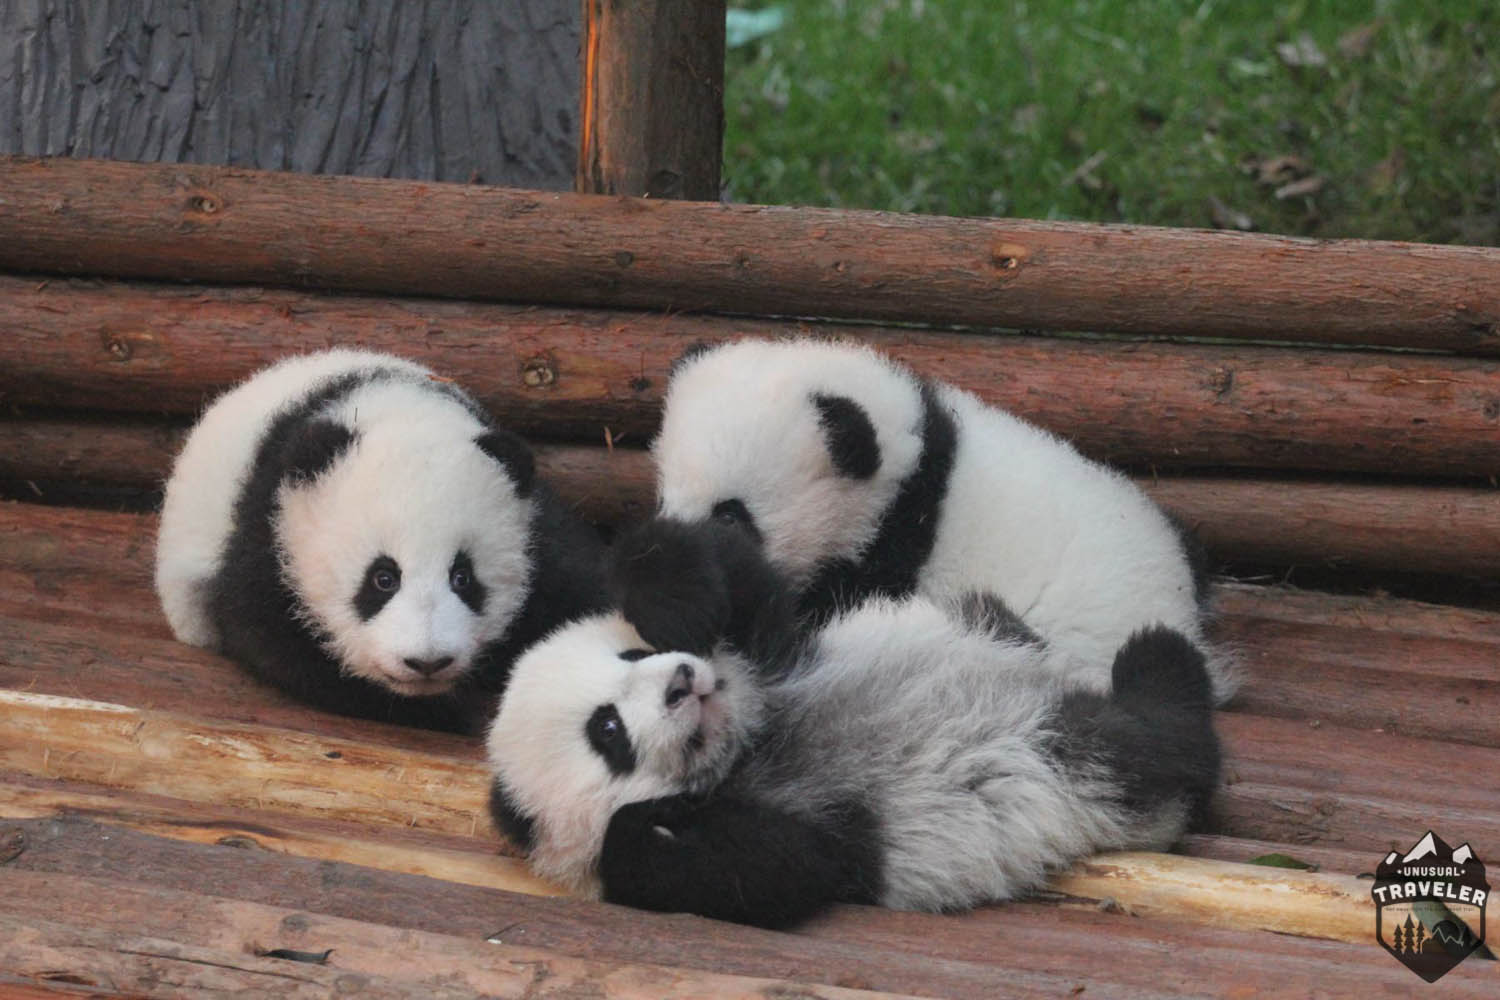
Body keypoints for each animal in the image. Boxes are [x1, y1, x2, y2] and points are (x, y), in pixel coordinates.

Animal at [155, 349, 606, 732]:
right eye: (382, 578)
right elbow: (276, 641)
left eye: (464, 578)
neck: (401, 411)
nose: (427, 661)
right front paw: (449, 712)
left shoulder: (537, 531)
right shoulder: (271, 529)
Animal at [485, 519, 1221, 928]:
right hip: (1072, 769)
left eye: (632, 655)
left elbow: (735, 571)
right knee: (1145, 745)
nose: (681, 682)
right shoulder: (822, 843)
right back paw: (1164, 669)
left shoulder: (781, 651)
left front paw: (675, 606)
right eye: (606, 731)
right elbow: (768, 870)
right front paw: (646, 827)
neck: (751, 746)